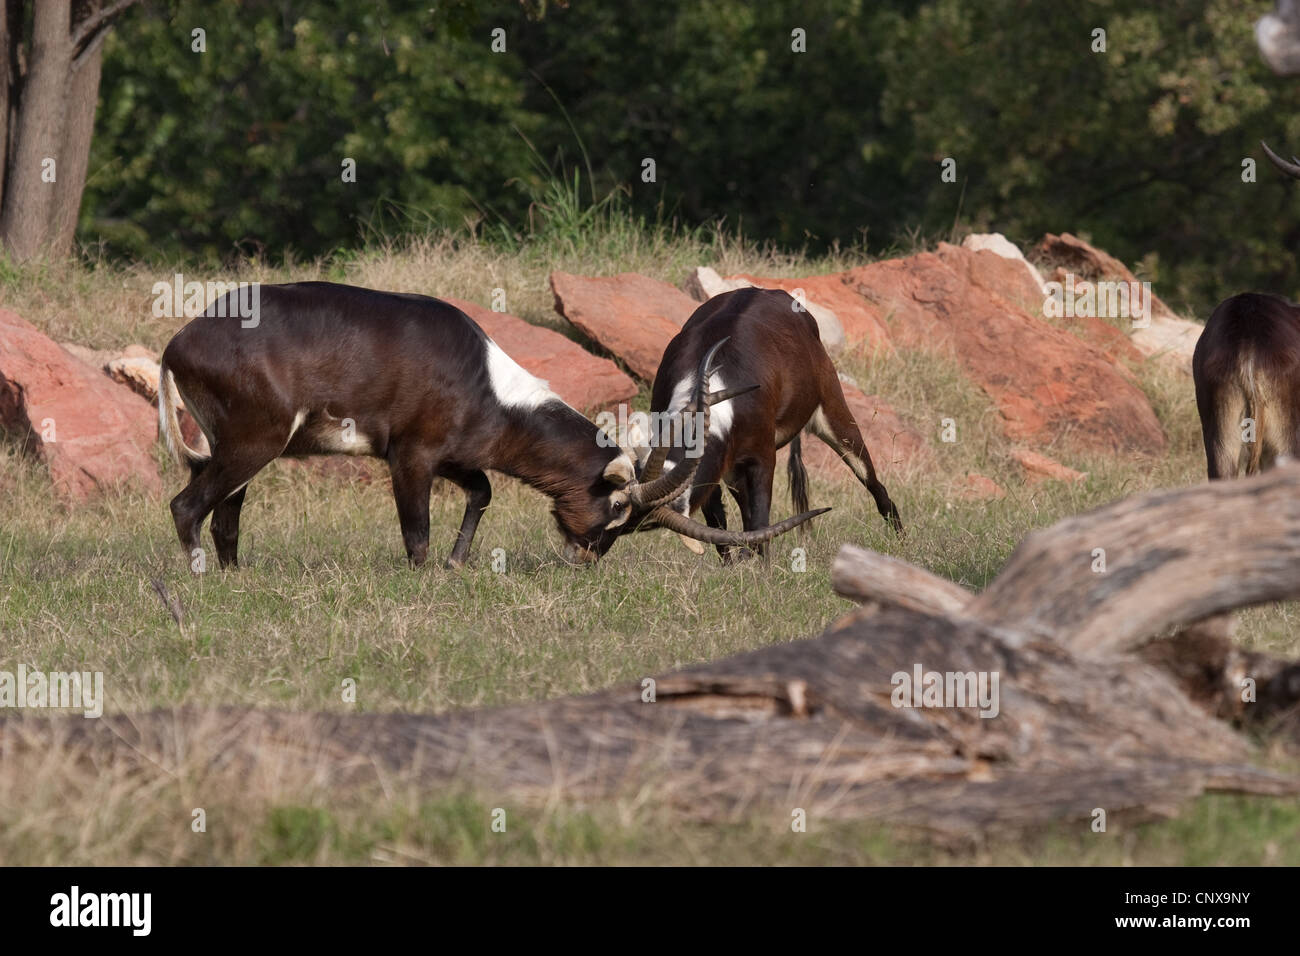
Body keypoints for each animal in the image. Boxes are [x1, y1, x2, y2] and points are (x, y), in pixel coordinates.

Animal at [157, 281, 825, 569]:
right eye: (617, 509)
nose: (588, 558)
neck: (481, 377)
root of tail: (177, 342)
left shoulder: (458, 457)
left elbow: (482, 492)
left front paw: (459, 565)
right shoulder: (411, 459)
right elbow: (416, 534)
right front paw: (427, 577)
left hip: (246, 456)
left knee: (225, 519)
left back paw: (237, 578)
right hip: (251, 446)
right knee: (186, 506)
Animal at [626, 286, 901, 561]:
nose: (620, 527)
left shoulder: (762, 459)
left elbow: (760, 524)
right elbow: (720, 523)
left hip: (835, 417)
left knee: (876, 486)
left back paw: (900, 541)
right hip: (735, 470)